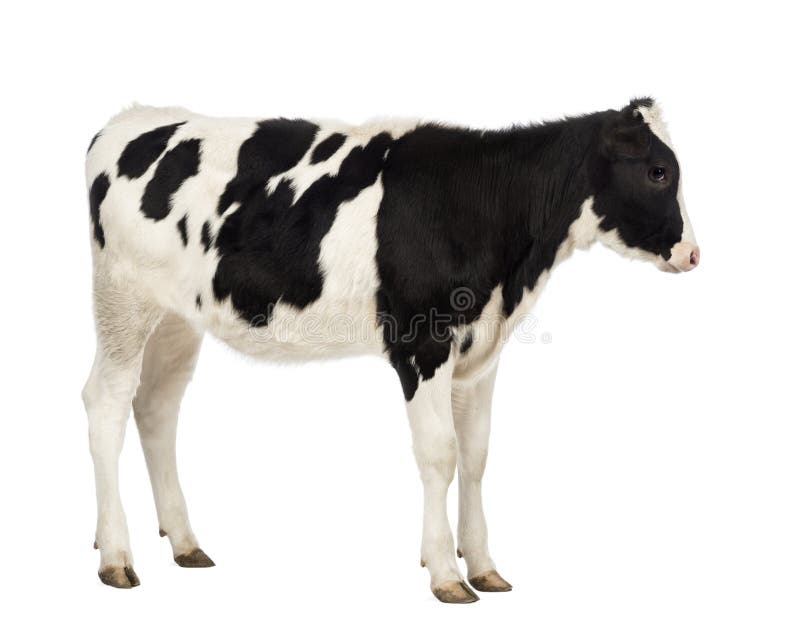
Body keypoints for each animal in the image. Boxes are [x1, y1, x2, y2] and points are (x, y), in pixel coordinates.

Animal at [83, 97, 699, 603]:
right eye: (658, 171)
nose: (693, 254)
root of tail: (126, 120)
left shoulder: (480, 353)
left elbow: (476, 456)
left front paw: (484, 566)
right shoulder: (422, 343)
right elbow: (440, 454)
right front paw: (446, 573)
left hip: (176, 317)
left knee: (156, 408)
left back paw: (185, 543)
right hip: (122, 300)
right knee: (106, 406)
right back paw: (116, 556)